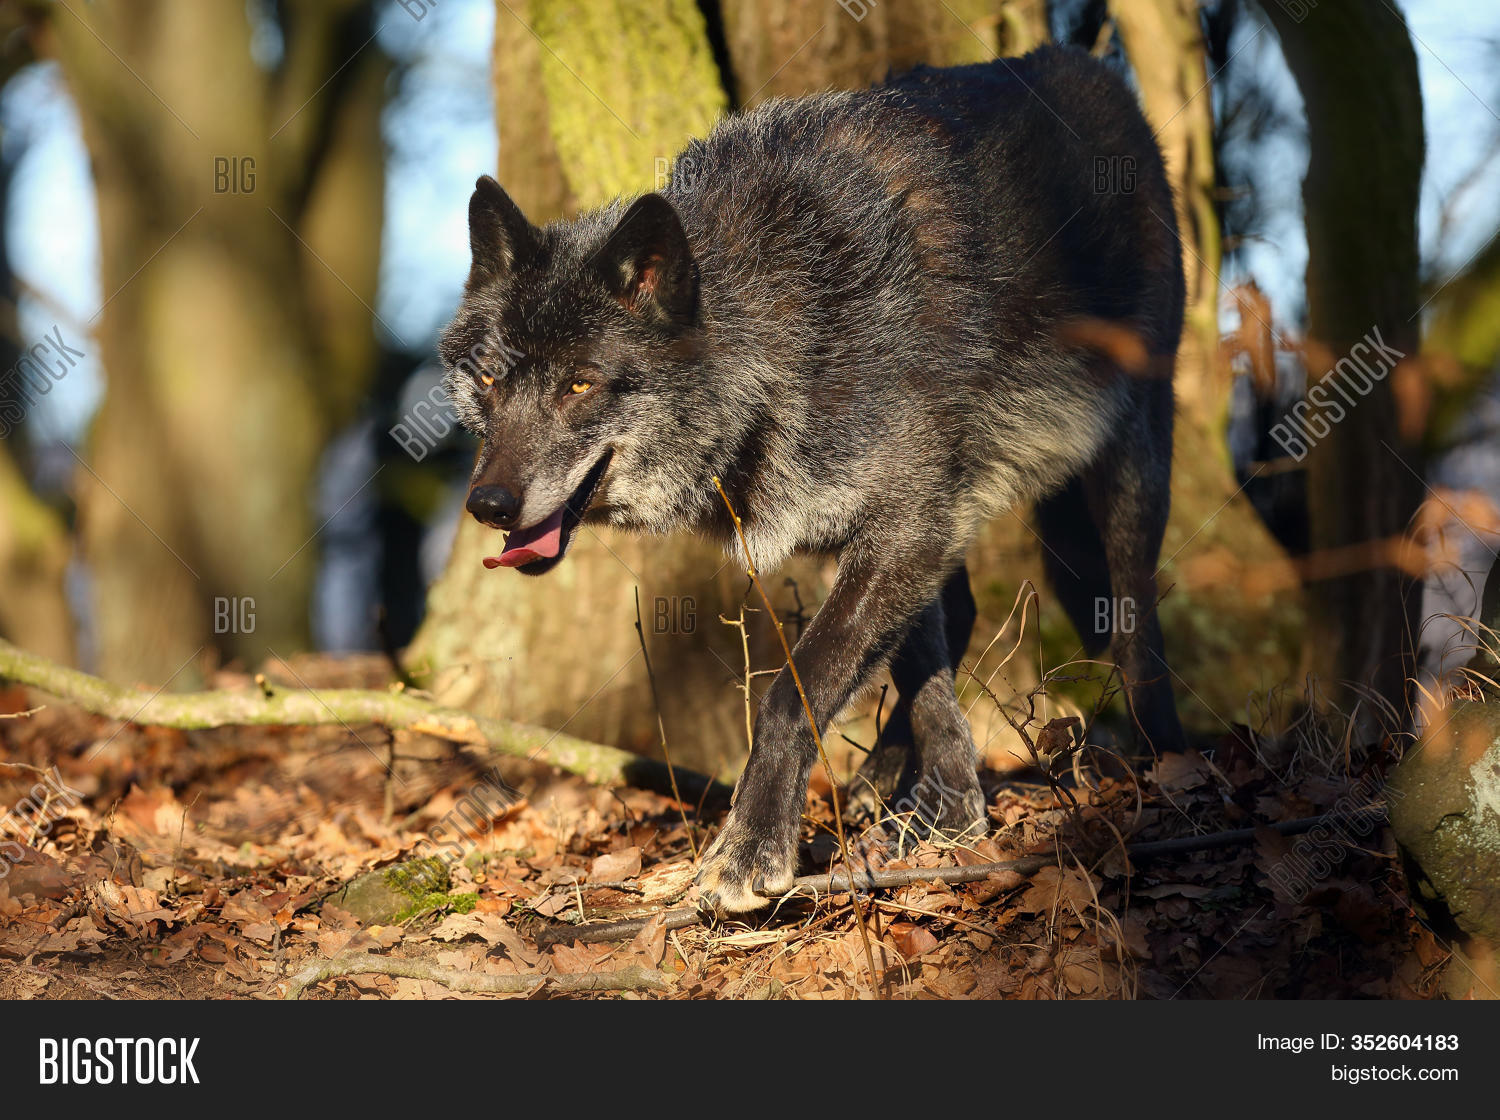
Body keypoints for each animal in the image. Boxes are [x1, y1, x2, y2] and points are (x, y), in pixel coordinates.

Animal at [439, 45, 1187, 914]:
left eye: (581, 385)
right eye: (490, 379)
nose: (488, 504)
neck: (787, 332)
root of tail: (1088, 65)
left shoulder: (905, 525)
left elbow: (792, 694)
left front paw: (753, 850)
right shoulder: (896, 528)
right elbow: (917, 679)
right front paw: (950, 815)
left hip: (1129, 459)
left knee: (1132, 609)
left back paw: (1163, 758)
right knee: (954, 619)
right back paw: (881, 784)